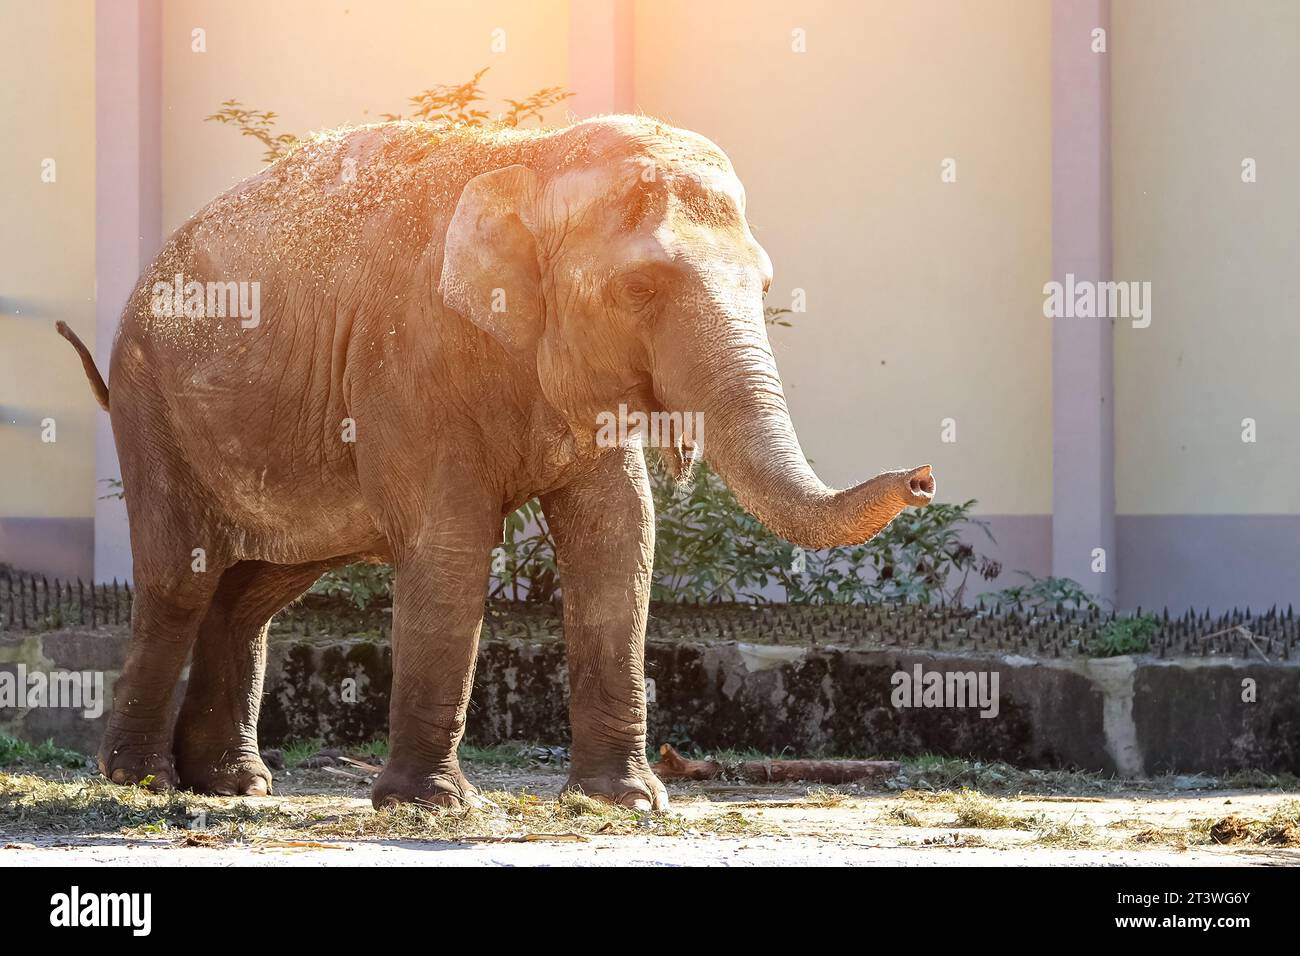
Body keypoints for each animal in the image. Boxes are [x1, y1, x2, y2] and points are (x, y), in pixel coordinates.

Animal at [58, 114, 935, 810]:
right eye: (641, 290)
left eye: (764, 284)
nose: (922, 478)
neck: (532, 160)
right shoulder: (406, 359)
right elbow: (450, 542)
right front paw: (431, 807)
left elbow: (621, 534)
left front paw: (627, 803)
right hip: (152, 408)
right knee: (181, 579)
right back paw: (143, 780)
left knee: (255, 591)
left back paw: (234, 785)